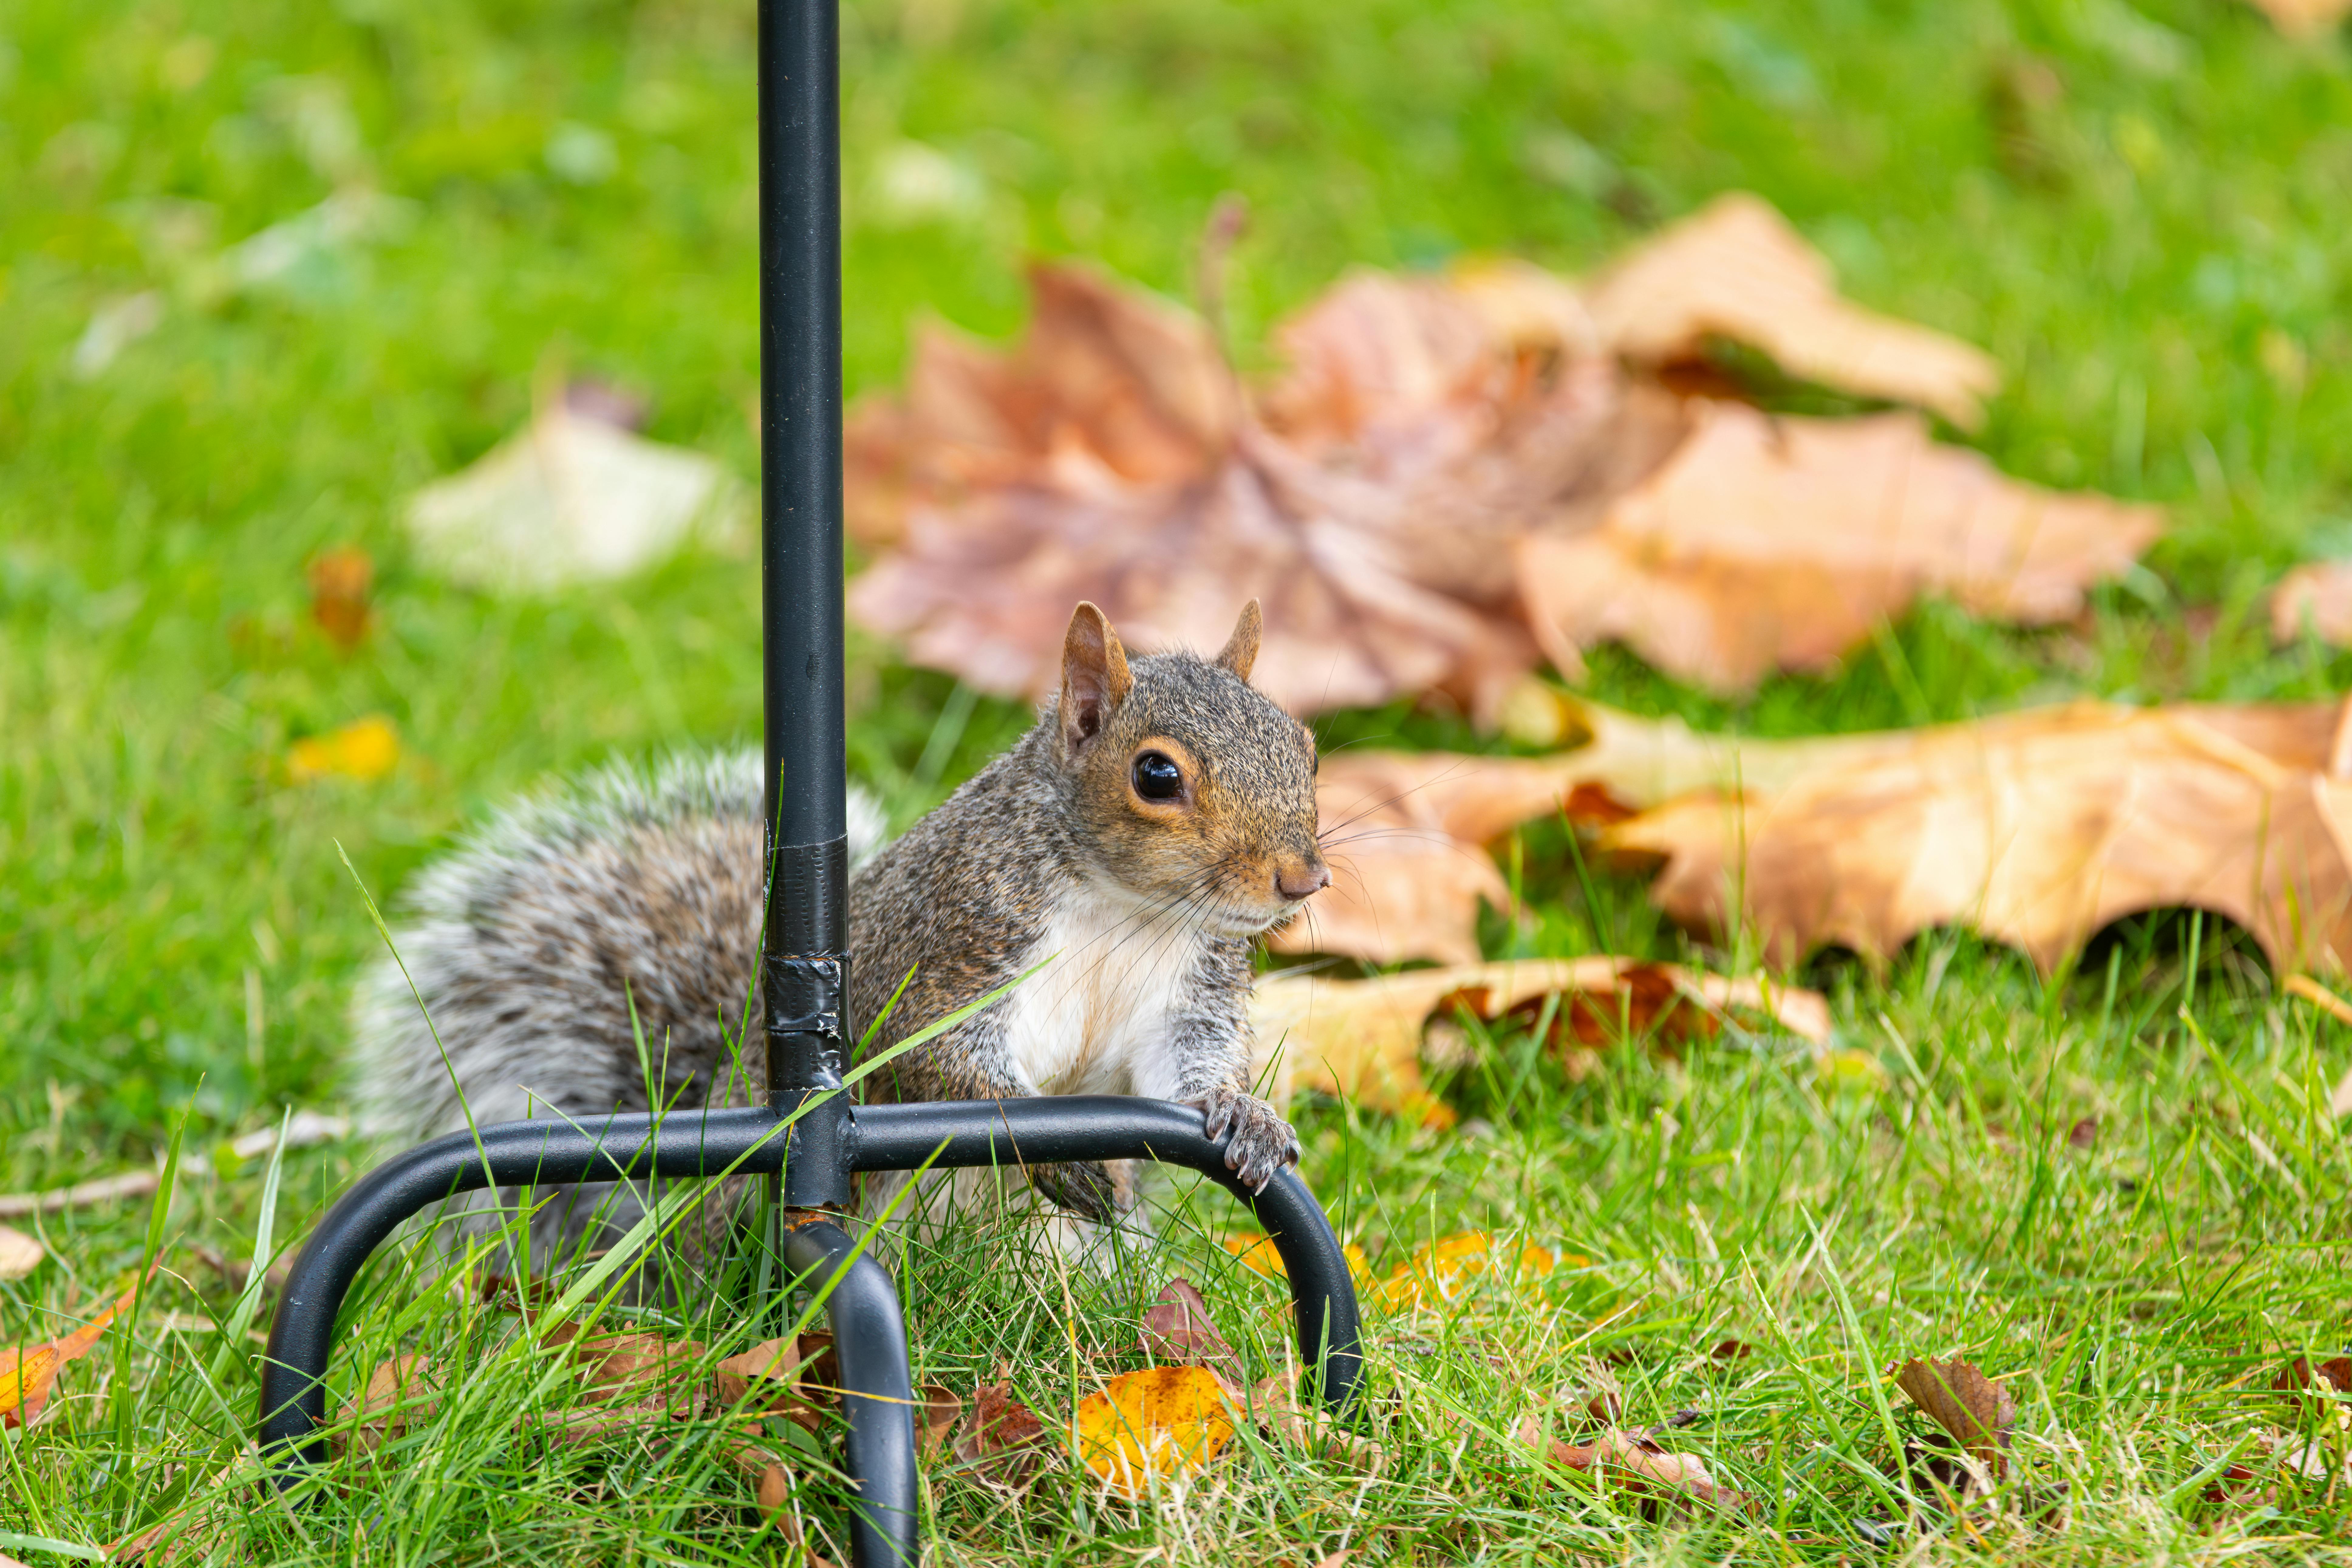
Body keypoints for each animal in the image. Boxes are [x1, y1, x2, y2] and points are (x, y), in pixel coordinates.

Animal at [350, 599, 1327, 1267]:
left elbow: (1179, 1069)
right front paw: (1031, 1131)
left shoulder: (1187, 991)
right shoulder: (951, 943)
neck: (1129, 910)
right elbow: (937, 1058)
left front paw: (1242, 1114)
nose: (1303, 878)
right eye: (1156, 775)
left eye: (1307, 747)